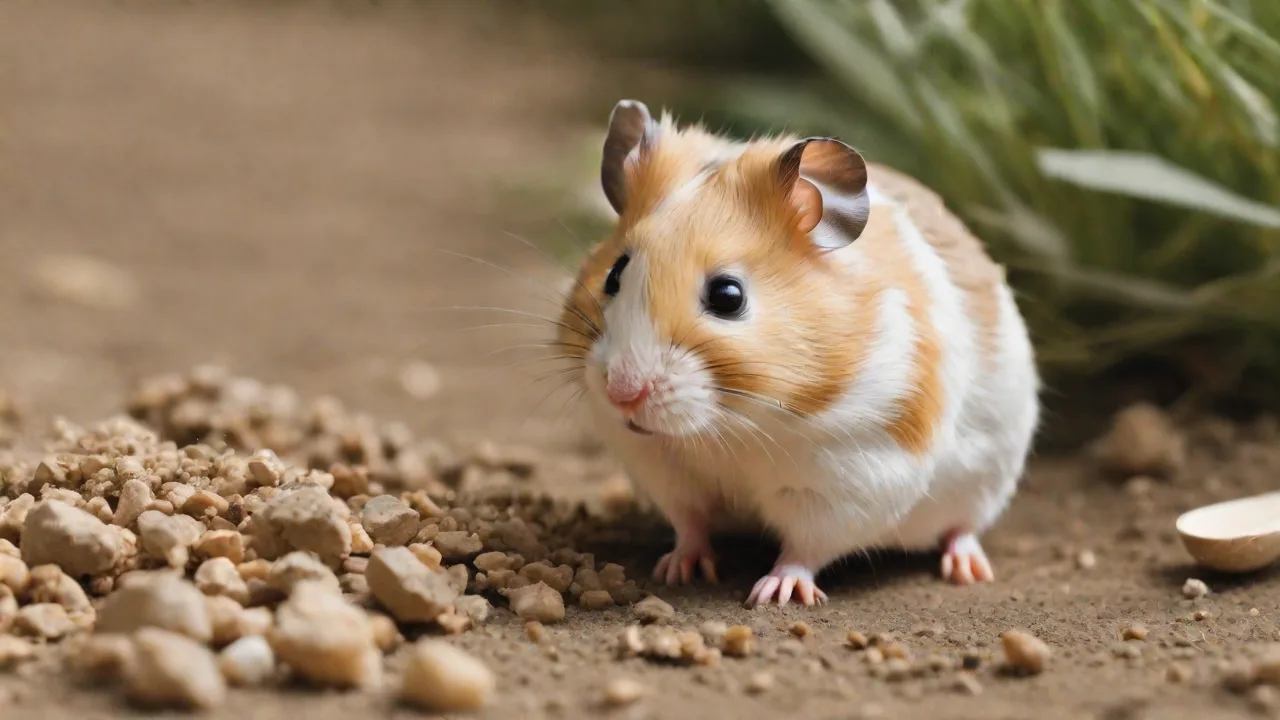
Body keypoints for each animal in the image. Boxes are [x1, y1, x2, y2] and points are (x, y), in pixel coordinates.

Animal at [556, 99, 1040, 606]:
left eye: (728, 296)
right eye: (615, 273)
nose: (622, 394)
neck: (729, 428)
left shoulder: (851, 480)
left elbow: (805, 548)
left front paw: (775, 593)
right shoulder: (663, 470)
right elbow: (689, 524)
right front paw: (675, 570)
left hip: (988, 482)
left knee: (962, 528)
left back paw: (967, 569)